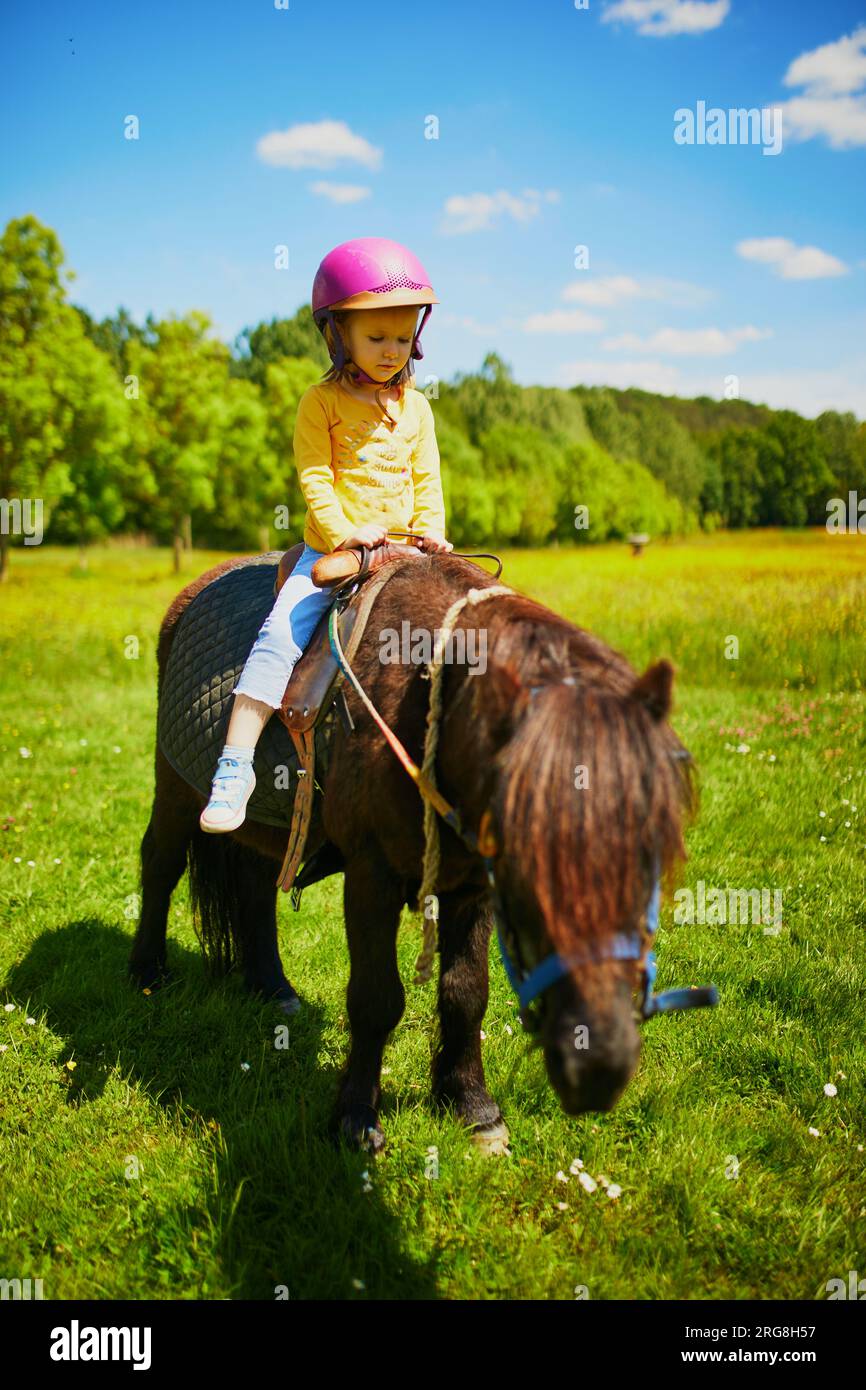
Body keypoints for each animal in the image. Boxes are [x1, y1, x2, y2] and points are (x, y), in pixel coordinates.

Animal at [130, 550, 697, 1153]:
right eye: (527, 870)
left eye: (651, 855)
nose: (599, 1067)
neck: (424, 696)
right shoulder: (370, 877)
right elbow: (376, 998)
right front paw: (356, 1117)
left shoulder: (471, 886)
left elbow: (466, 993)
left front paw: (472, 1105)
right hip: (175, 787)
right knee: (160, 863)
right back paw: (147, 971)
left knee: (256, 891)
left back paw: (273, 987)